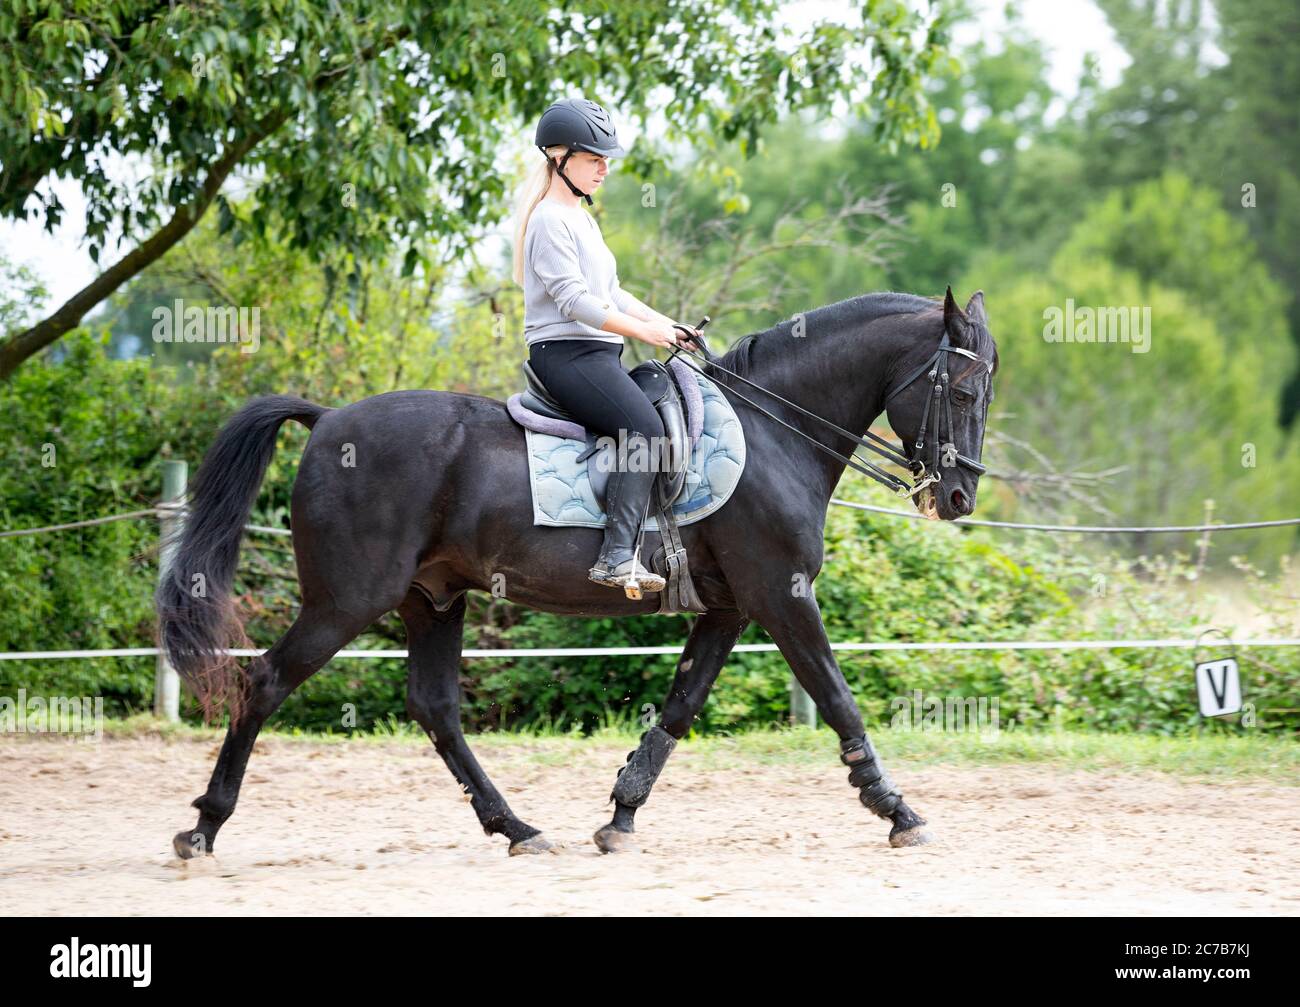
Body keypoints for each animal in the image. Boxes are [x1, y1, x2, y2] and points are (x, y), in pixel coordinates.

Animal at [157, 287, 998, 857]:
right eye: (961, 389)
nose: (958, 497)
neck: (773, 430)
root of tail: (327, 419)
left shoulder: (728, 608)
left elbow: (679, 708)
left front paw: (621, 813)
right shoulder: (782, 596)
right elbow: (838, 699)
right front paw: (898, 811)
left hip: (433, 599)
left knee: (435, 708)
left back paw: (516, 826)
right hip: (346, 600)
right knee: (265, 681)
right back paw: (203, 826)